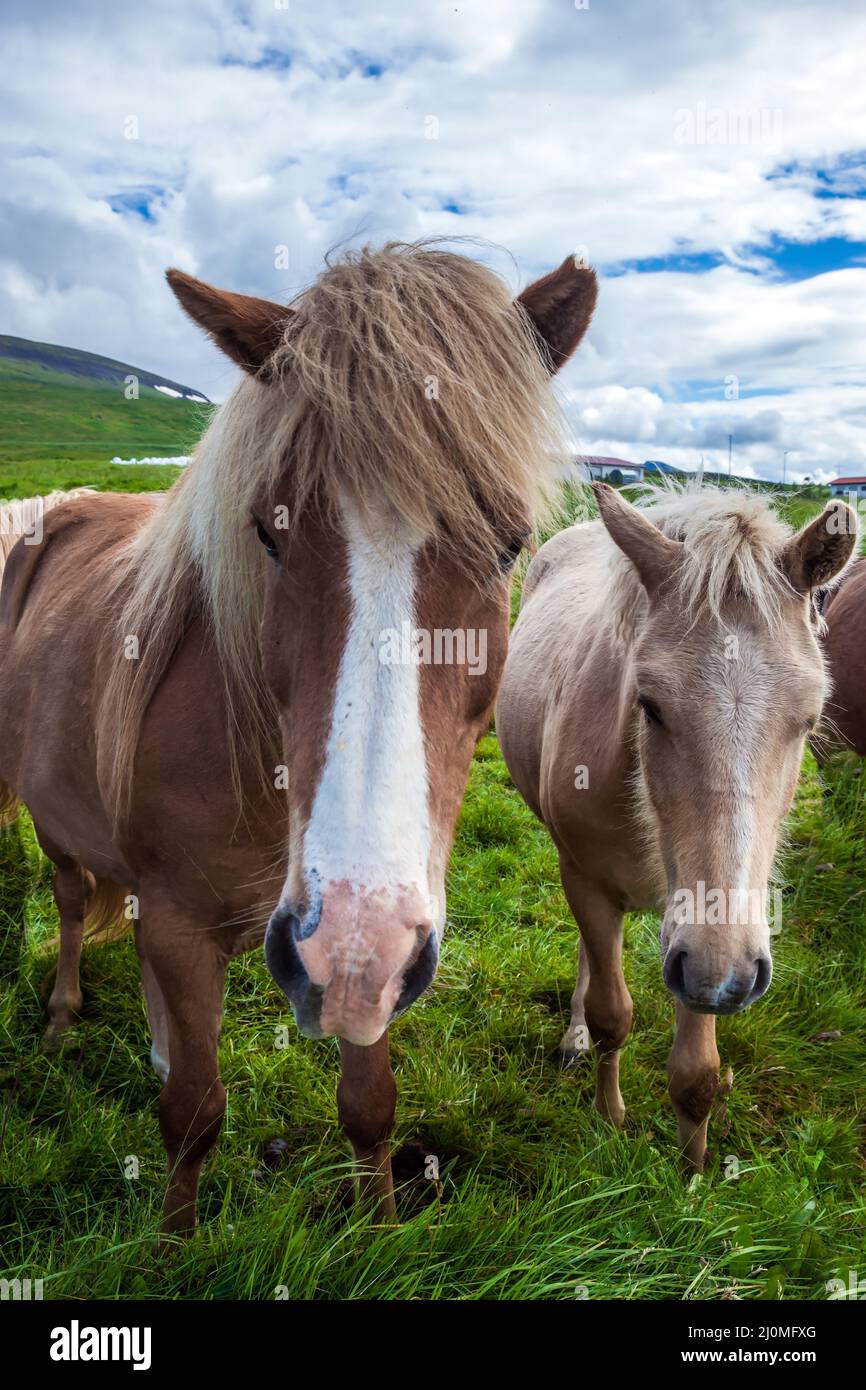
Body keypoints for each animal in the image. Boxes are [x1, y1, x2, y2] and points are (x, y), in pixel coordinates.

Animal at [0, 240, 597, 1235]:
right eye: (268, 534)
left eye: (510, 544)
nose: (350, 946)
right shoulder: (180, 927)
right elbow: (193, 1113)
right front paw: (172, 1245)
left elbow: (370, 1104)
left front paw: (383, 1230)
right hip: (55, 832)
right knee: (73, 903)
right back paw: (61, 1015)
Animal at [496, 482, 857, 1170]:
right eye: (650, 704)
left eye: (809, 717)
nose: (728, 976)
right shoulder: (594, 887)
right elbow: (612, 1013)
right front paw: (611, 1119)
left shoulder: (704, 941)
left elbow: (697, 1072)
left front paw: (691, 1172)